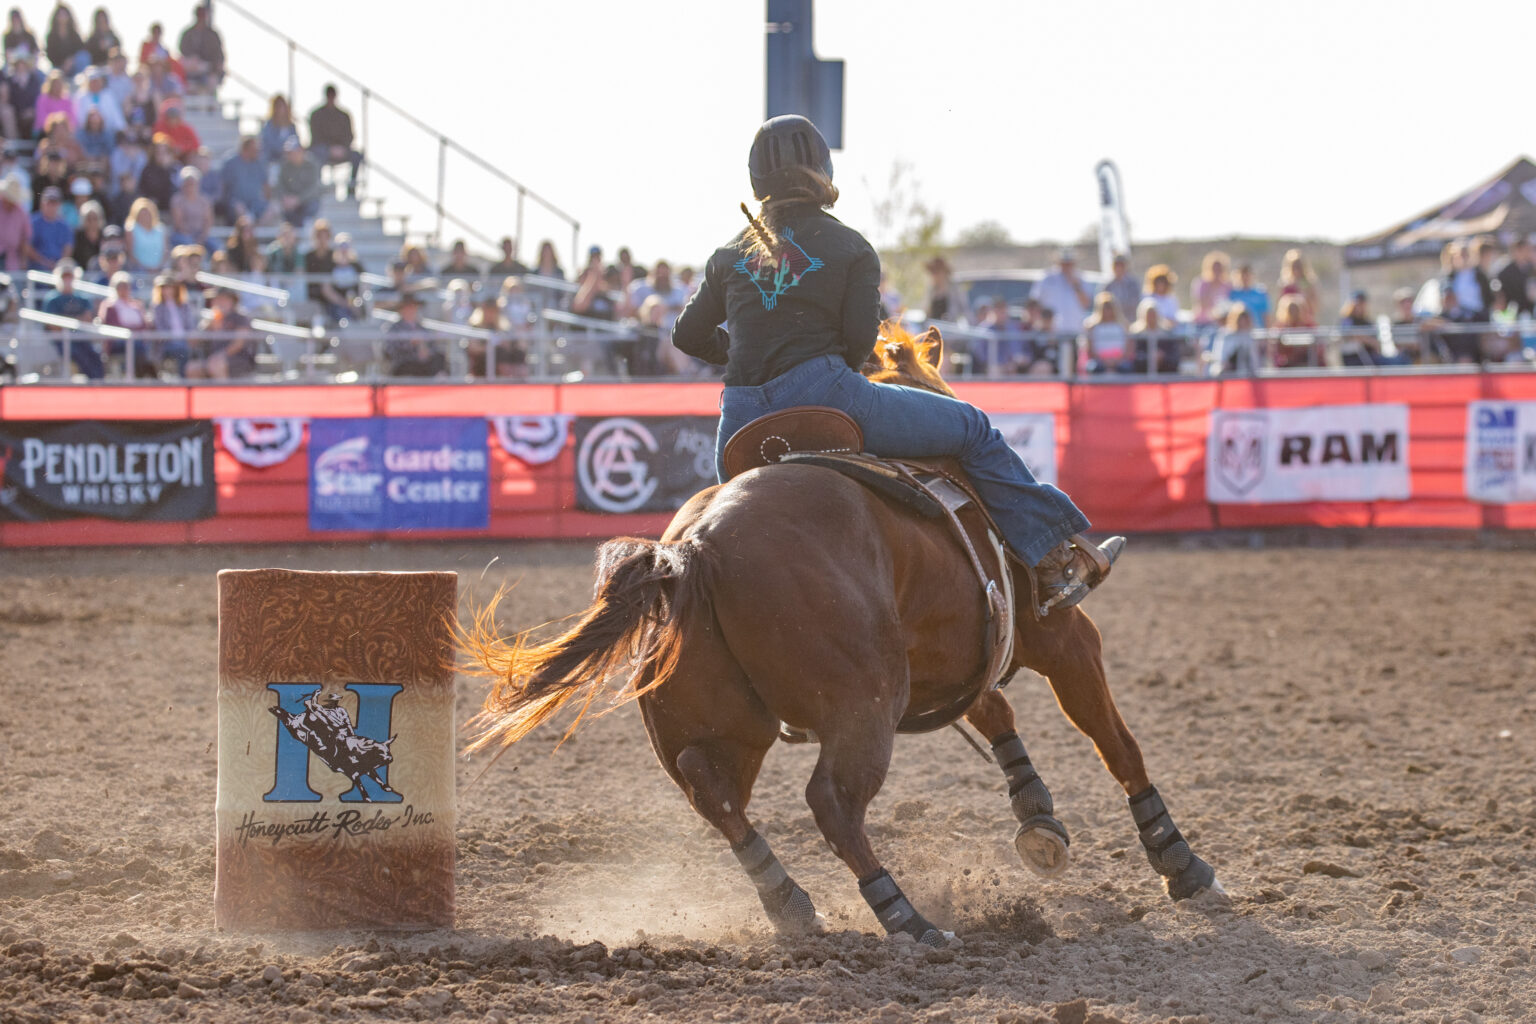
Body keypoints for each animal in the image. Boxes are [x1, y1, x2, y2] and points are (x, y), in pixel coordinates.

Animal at [464, 324, 1220, 948]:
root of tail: (694, 547)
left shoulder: (956, 652)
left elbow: (997, 710)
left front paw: (1039, 819)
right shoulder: (1064, 637)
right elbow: (1115, 742)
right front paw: (1178, 861)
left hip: (725, 722)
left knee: (713, 791)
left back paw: (791, 904)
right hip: (865, 703)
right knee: (830, 802)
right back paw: (905, 917)